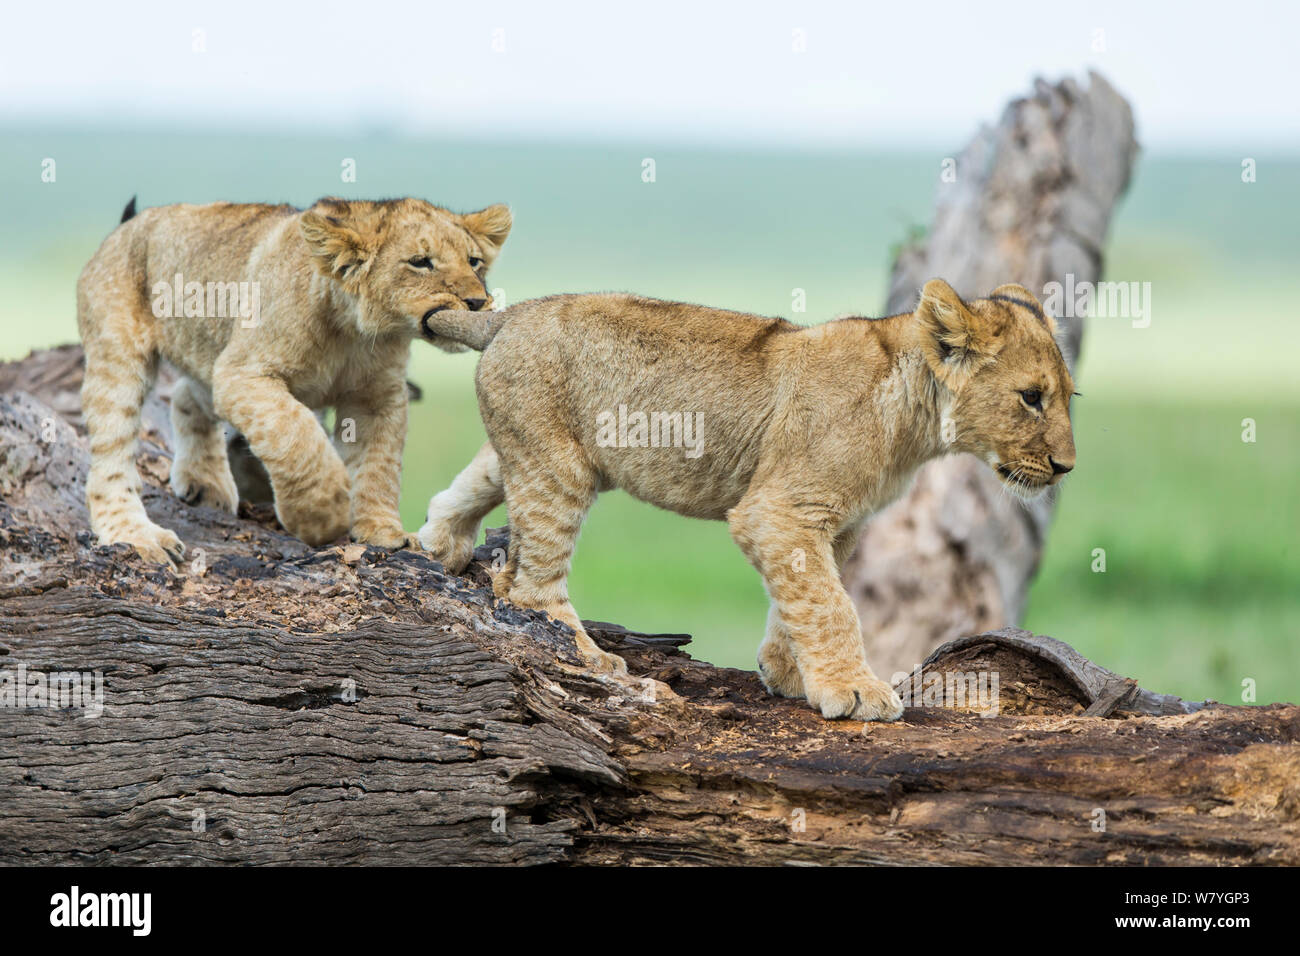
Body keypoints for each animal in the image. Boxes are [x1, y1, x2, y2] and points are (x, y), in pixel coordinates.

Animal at [77, 195, 512, 565]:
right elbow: (296, 436)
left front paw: (383, 532)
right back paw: (136, 534)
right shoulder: (243, 373)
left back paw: (206, 484)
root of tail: (132, 222)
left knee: (187, 395)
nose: (478, 302)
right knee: (110, 455)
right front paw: (321, 516)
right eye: (421, 262)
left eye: (474, 261)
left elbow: (378, 464)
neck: (352, 332)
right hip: (119, 356)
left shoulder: (378, 395)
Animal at [415, 280, 1076, 722]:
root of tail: (507, 316)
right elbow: (831, 603)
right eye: (1031, 397)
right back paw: (588, 658)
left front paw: (787, 672)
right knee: (531, 586)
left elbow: (804, 597)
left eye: (1068, 395)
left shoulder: (833, 525)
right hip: (561, 469)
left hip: (540, 452)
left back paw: (431, 547)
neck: (917, 419)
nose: (1066, 467)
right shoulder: (780, 509)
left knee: (477, 482)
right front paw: (856, 690)